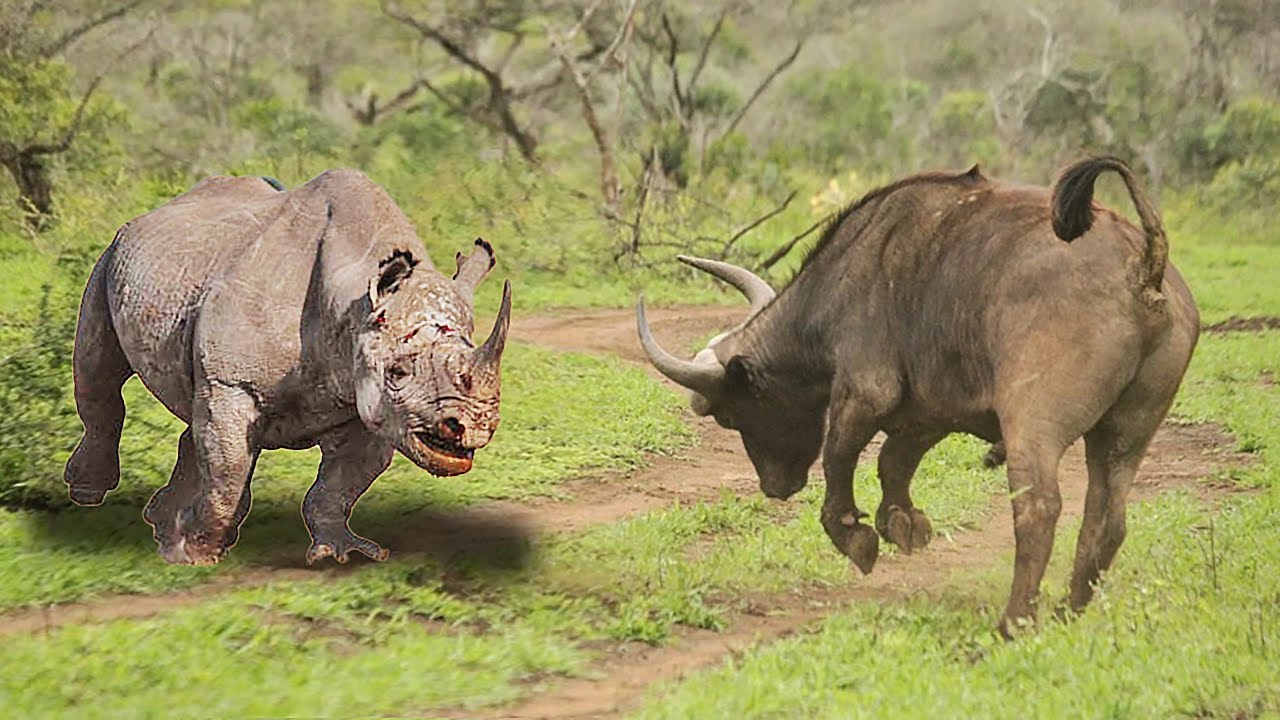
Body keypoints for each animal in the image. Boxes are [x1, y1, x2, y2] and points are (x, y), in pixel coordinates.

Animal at [63, 169, 512, 566]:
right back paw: (88, 494)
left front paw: (341, 553)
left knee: (195, 414)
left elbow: (340, 485)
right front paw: (190, 554)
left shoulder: (371, 405)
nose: (474, 428)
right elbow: (227, 472)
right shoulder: (234, 383)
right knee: (100, 375)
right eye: (398, 373)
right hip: (111, 256)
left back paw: (162, 520)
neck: (352, 302)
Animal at [637, 157, 1199, 634]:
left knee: (1039, 508)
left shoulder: (863, 392)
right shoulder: (928, 411)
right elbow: (894, 461)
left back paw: (1013, 622)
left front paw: (858, 538)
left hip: (1033, 428)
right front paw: (903, 523)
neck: (850, 274)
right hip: (1124, 437)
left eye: (731, 416)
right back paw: (1066, 613)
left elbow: (839, 459)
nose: (775, 487)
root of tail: (1143, 264)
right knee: (1108, 521)